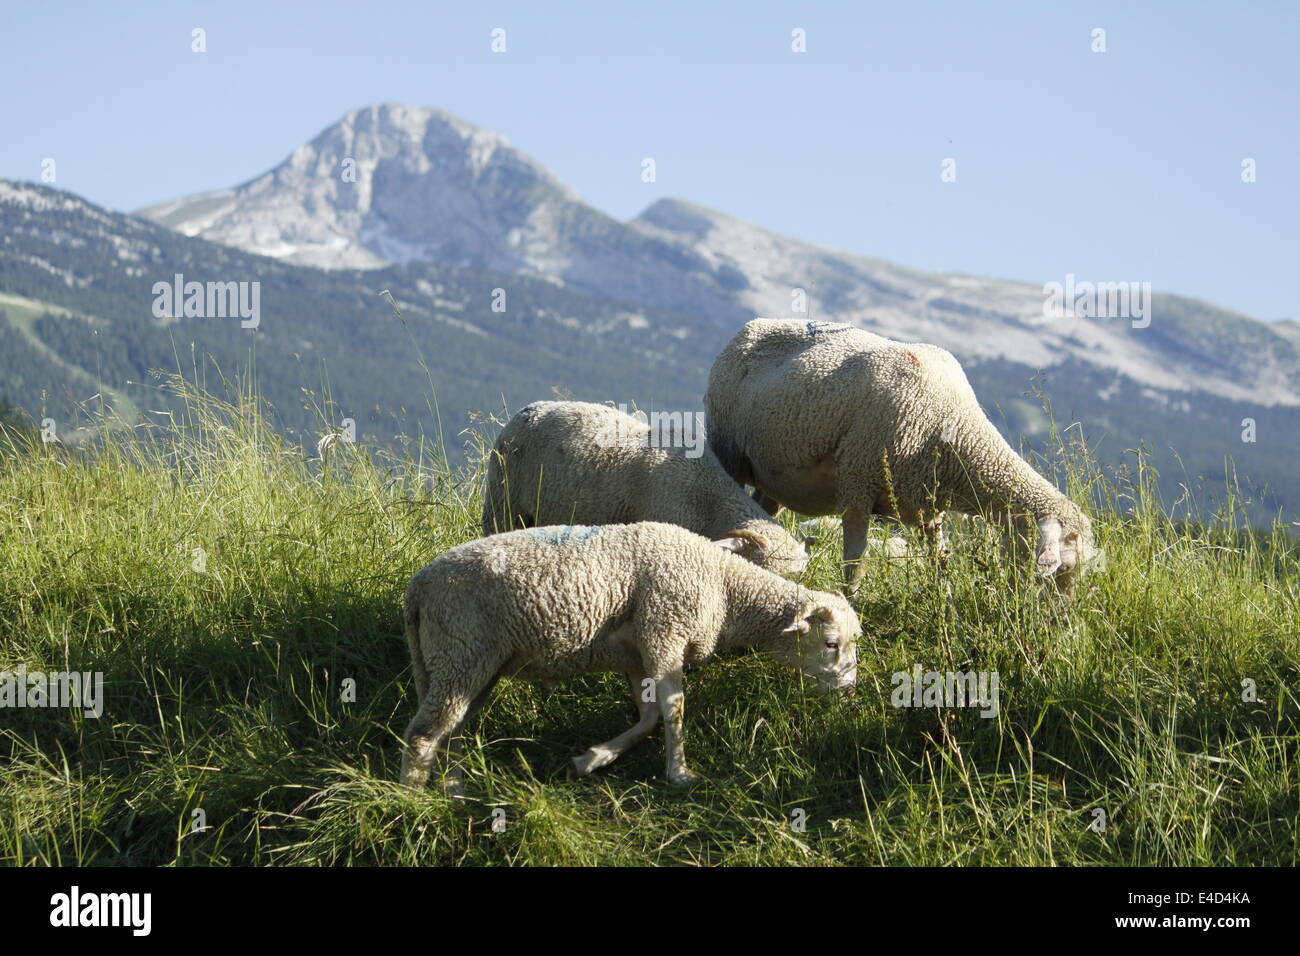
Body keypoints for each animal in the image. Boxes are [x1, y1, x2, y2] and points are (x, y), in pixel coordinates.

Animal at [399, 521, 860, 791]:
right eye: (830, 643)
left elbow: (649, 716)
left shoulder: (639, 655)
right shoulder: (664, 635)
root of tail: (418, 588)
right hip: (460, 653)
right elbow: (674, 710)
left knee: (452, 728)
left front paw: (590, 760)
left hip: (473, 664)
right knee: (424, 734)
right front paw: (680, 774)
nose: (849, 690)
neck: (725, 587)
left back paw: (453, 790)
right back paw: (416, 802)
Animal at [704, 319, 1101, 592]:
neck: (954, 431)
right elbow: (855, 566)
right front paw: (852, 607)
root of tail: (751, 325)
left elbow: (941, 565)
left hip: (775, 476)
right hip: (727, 449)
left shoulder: (929, 511)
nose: (1060, 626)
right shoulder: (857, 487)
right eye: (1062, 568)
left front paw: (948, 611)